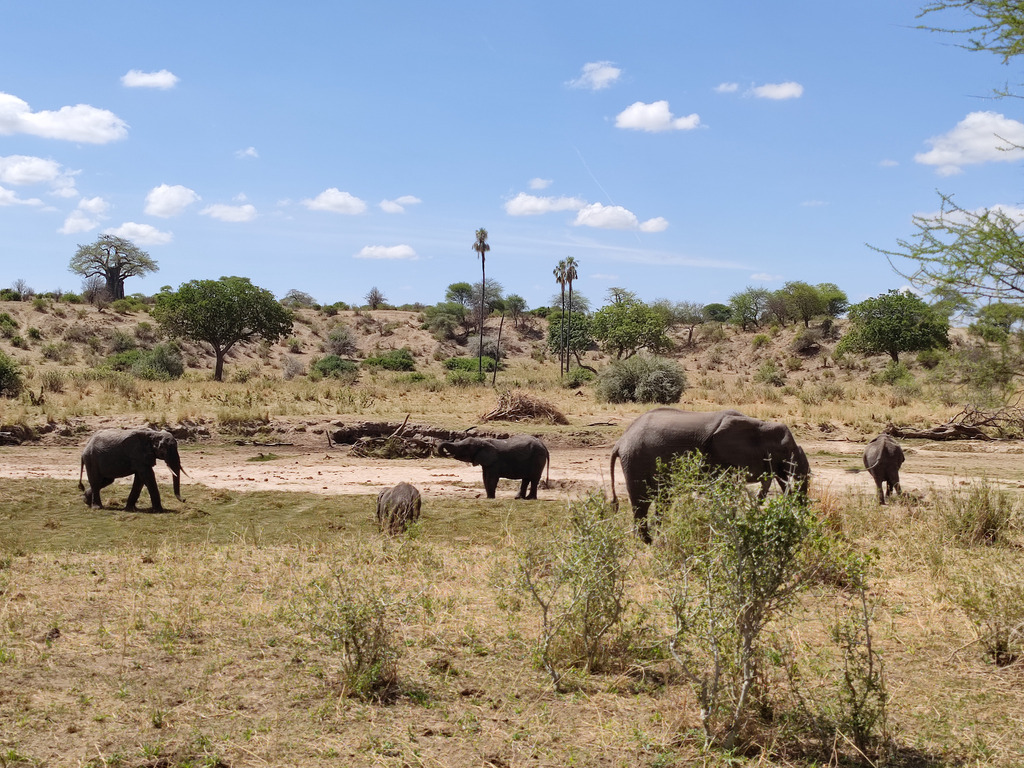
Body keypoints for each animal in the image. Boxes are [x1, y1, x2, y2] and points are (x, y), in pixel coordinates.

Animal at [609, 408, 810, 541]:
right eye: (787, 449)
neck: (760, 425)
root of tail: (620, 441)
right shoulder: (719, 458)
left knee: (662, 501)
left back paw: (657, 539)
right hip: (636, 460)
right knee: (642, 503)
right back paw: (648, 542)